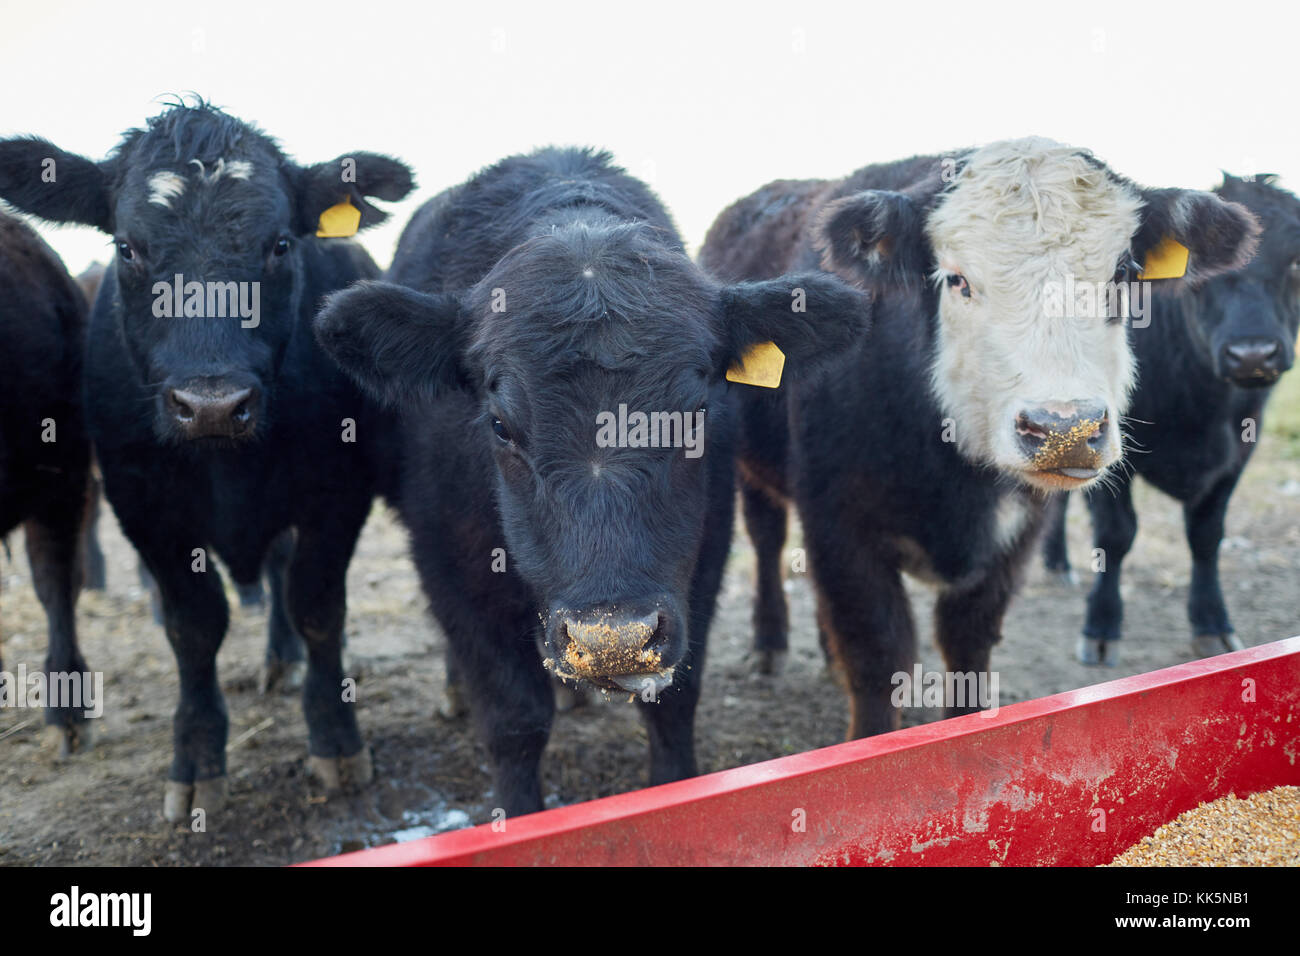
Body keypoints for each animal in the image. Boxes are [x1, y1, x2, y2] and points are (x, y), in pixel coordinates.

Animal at [0, 99, 414, 821]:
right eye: (127, 246)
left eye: (281, 244)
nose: (213, 405)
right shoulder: (145, 507)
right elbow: (194, 625)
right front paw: (196, 757)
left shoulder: (337, 495)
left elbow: (316, 605)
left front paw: (336, 740)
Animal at [313, 146, 872, 816]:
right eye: (499, 425)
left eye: (696, 413)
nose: (611, 641)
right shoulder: (451, 561)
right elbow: (514, 720)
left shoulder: (701, 561)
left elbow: (673, 705)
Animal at [699, 138, 1260, 737]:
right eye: (956, 279)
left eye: (1124, 273)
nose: (1064, 429)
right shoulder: (838, 524)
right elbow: (877, 652)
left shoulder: (1016, 538)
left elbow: (967, 641)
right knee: (766, 540)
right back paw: (769, 644)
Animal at [1042, 173, 1298, 664]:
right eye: (1201, 277)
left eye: (1295, 263)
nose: (1252, 354)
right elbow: (1116, 534)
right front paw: (1101, 627)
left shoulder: (1238, 453)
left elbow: (1207, 535)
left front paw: (1212, 624)